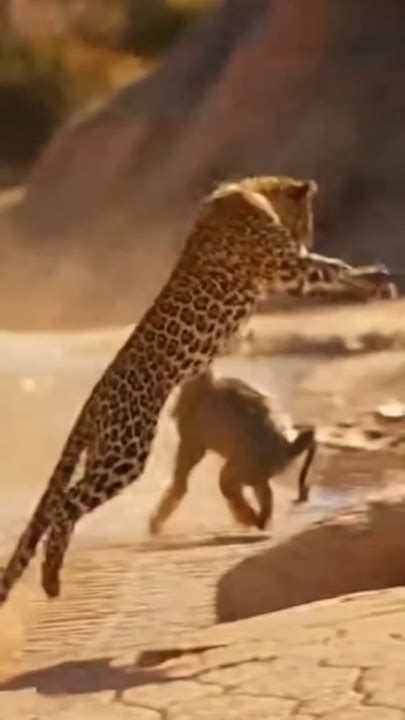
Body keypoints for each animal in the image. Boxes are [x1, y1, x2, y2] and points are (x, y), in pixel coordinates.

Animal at [149, 370, 316, 535]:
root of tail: (286, 449)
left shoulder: (192, 445)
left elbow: (180, 485)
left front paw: (156, 523)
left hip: (243, 469)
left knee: (233, 488)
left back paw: (250, 518)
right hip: (255, 472)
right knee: (265, 494)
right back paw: (261, 518)